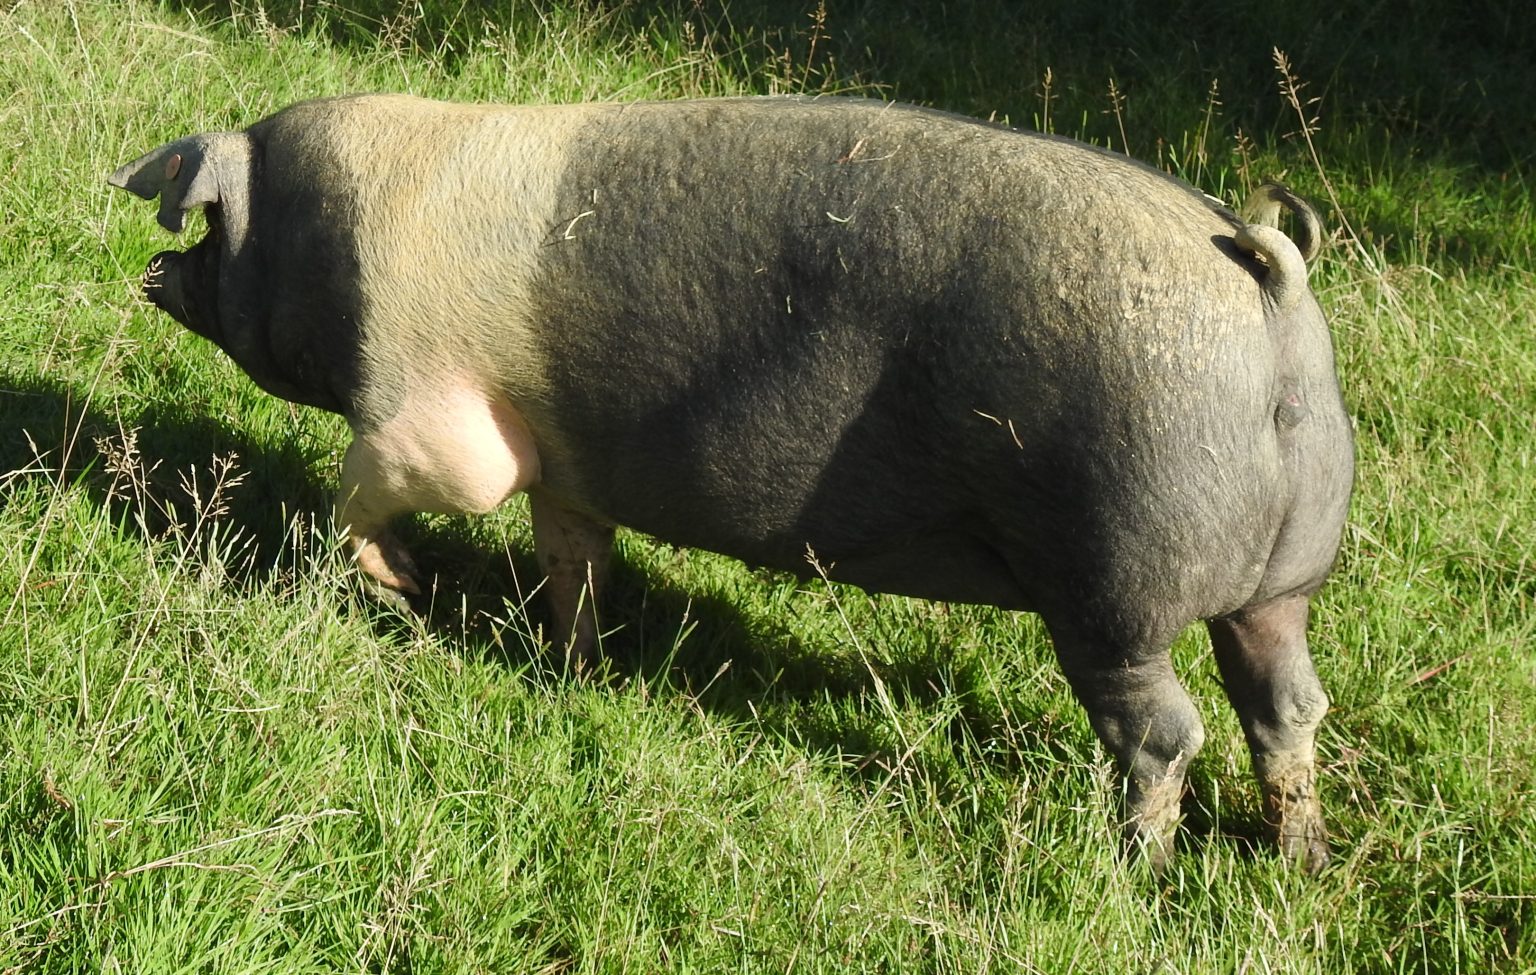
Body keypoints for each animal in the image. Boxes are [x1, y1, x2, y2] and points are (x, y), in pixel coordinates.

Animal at [109, 94, 1353, 873]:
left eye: (214, 230)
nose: (152, 271)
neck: (330, 255)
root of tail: (1274, 279)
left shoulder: (427, 421)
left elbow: (374, 493)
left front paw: (397, 587)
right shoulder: (562, 458)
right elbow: (572, 554)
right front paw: (574, 664)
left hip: (1111, 583)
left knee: (1167, 732)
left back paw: (1129, 869)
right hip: (1281, 583)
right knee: (1287, 705)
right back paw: (1299, 859)